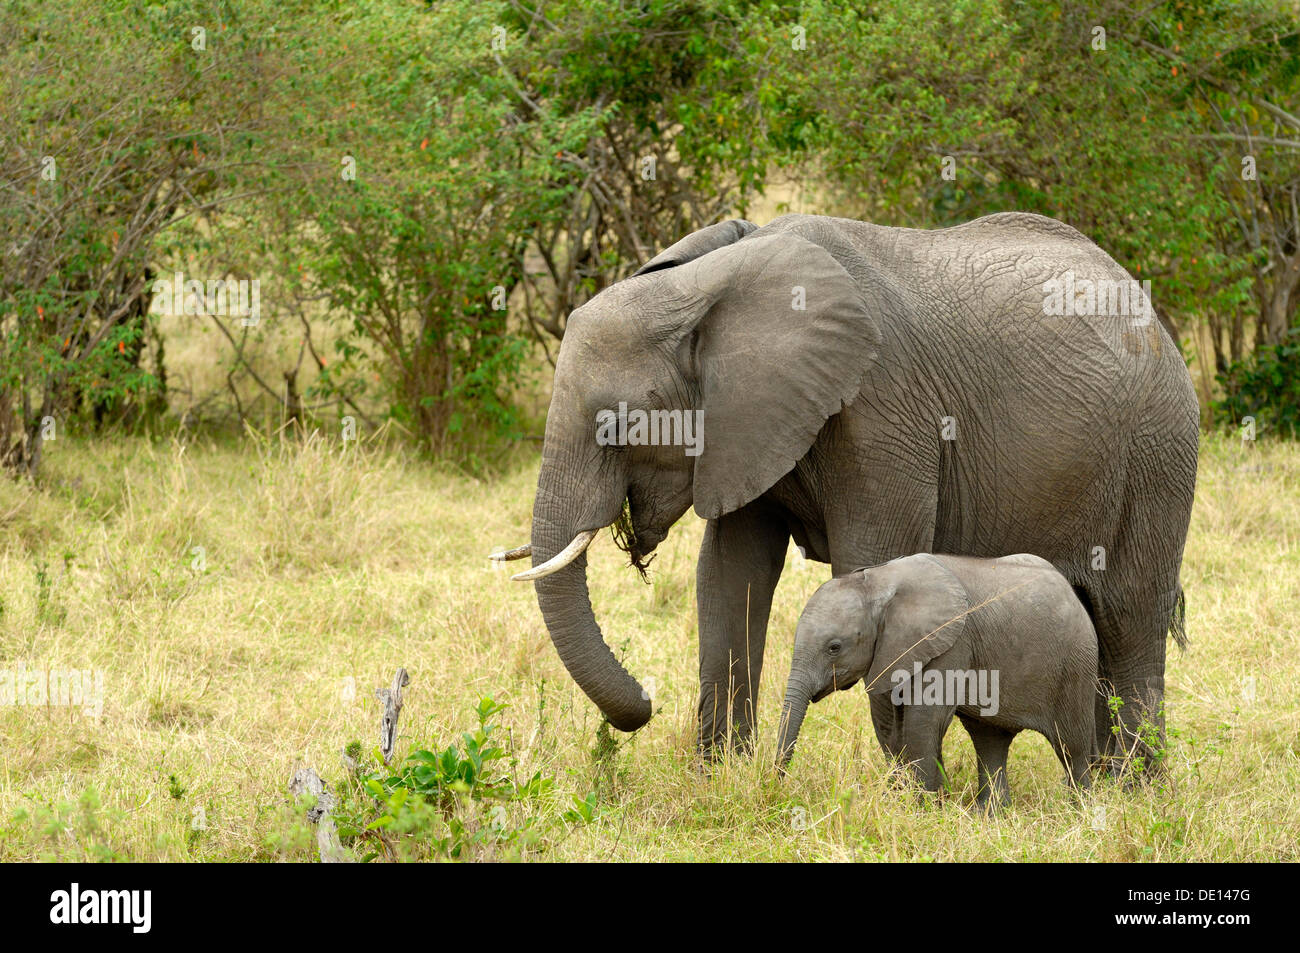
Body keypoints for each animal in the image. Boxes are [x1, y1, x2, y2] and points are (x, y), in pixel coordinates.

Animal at [491, 211, 1197, 768]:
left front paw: (903, 790)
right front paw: (720, 777)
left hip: (1158, 452)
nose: (643, 699)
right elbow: (729, 573)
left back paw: (1135, 790)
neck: (709, 285)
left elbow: (869, 561)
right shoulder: (748, 422)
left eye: (617, 425)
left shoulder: (882, 411)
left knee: (1129, 617)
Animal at [775, 553, 1098, 811]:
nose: (776, 784)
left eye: (834, 647)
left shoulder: (950, 642)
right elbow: (891, 725)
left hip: (1076, 664)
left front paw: (922, 810)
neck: (878, 582)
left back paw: (1079, 813)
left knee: (1072, 746)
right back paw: (990, 816)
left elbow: (923, 720)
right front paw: (920, 804)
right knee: (990, 741)